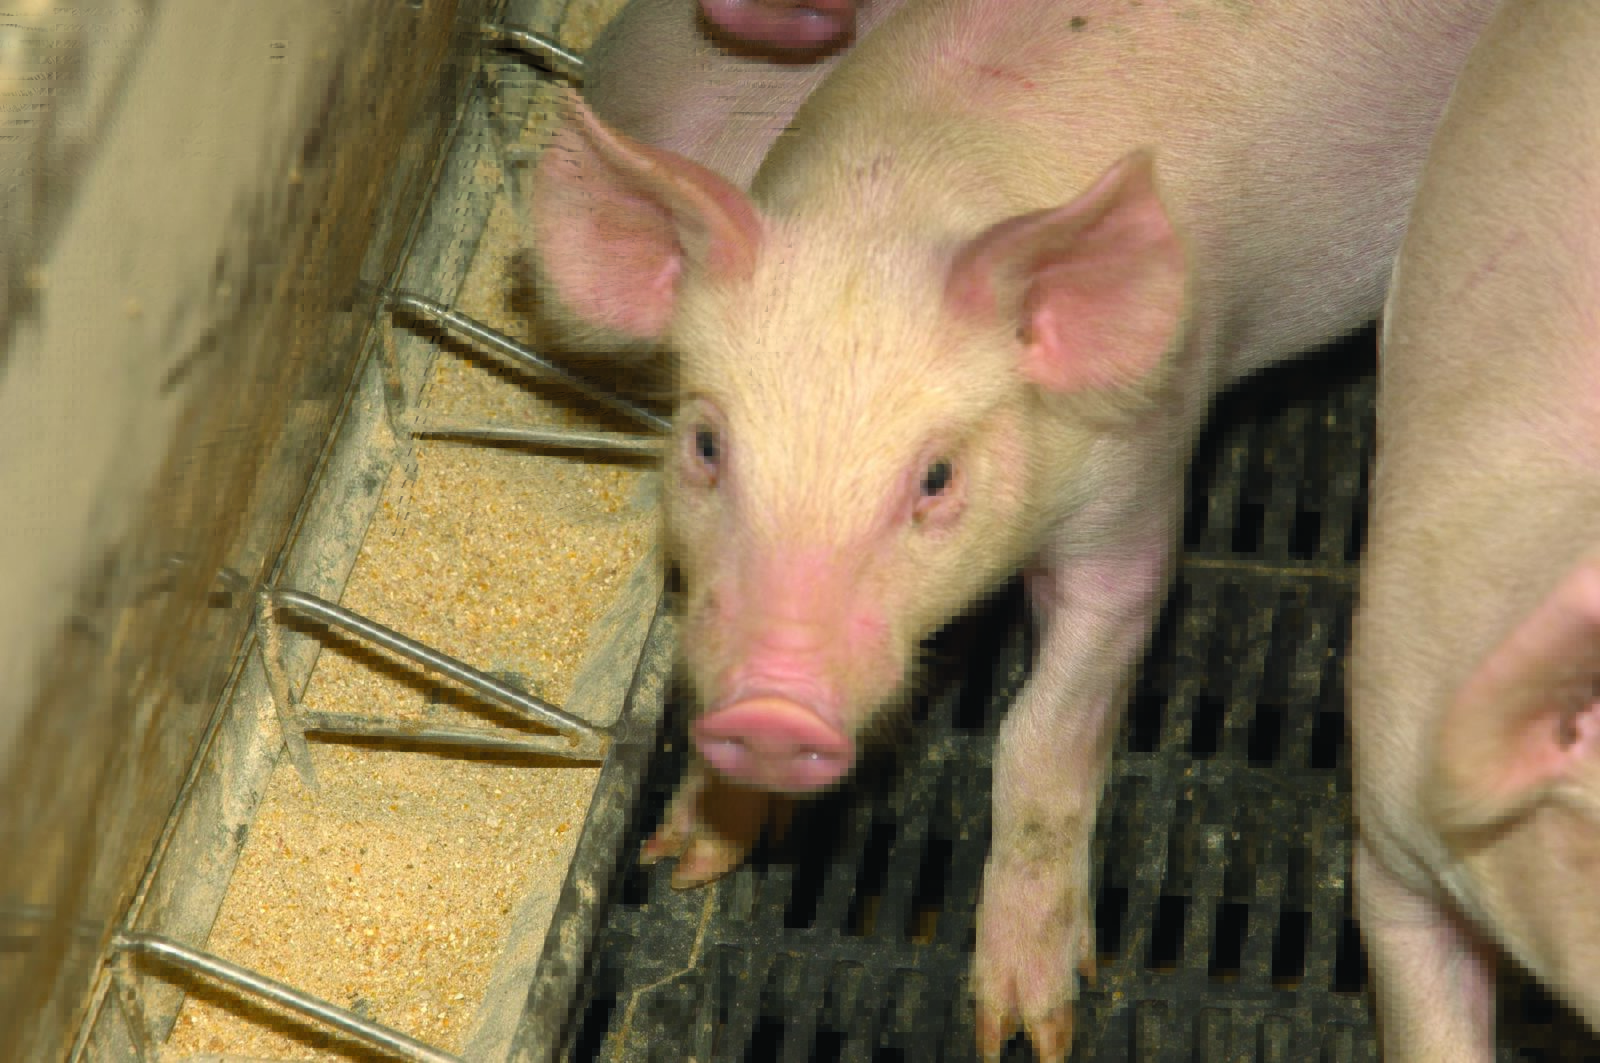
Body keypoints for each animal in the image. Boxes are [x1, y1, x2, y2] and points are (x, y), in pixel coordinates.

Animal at [530, 0, 1496, 1058]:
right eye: (706, 443)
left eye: (937, 476)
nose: (770, 712)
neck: (907, 189)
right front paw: (687, 853)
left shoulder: (1141, 476)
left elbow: (1042, 729)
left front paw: (1026, 1026)